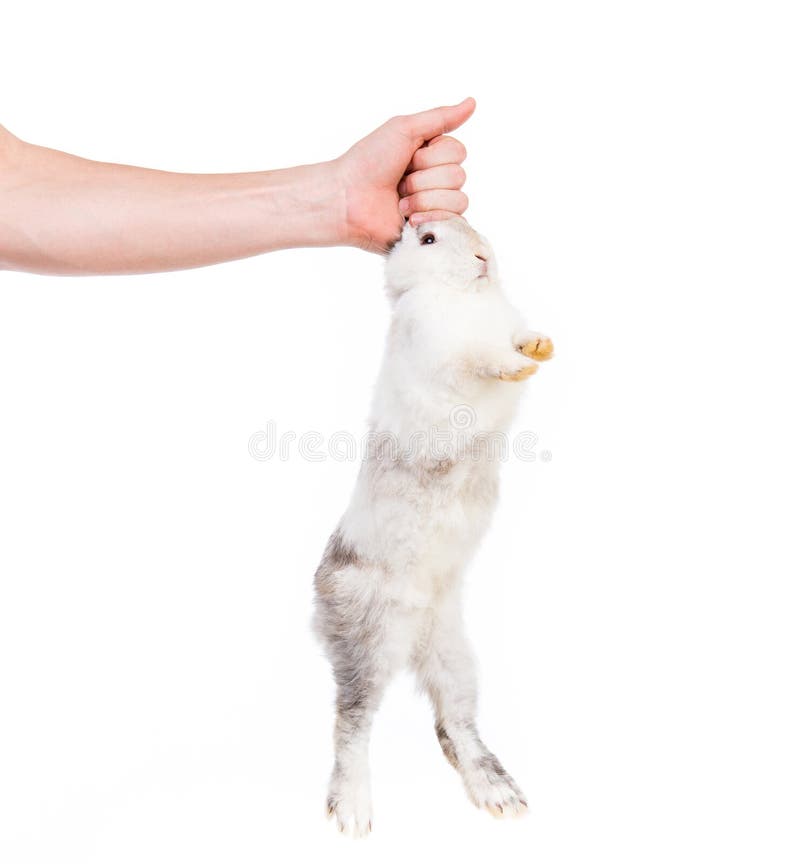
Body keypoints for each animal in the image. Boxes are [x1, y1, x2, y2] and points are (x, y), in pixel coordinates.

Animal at [312, 215, 553, 836]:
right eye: (426, 239)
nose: (483, 257)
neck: (463, 295)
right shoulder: (450, 351)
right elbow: (484, 361)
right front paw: (520, 363)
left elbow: (516, 339)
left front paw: (540, 347)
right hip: (371, 642)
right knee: (351, 721)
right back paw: (352, 814)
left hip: (455, 657)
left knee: (453, 726)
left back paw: (502, 798)